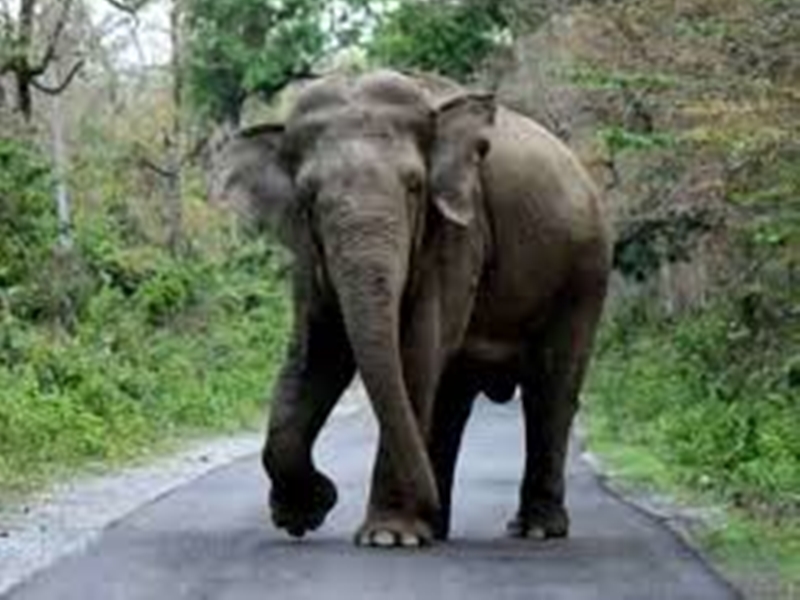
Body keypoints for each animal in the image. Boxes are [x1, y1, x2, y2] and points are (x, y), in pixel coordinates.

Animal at [209, 70, 612, 548]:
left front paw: (386, 538)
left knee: (551, 387)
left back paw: (534, 530)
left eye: (415, 186)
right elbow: (318, 355)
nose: (328, 493)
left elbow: (416, 351)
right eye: (307, 197)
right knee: (452, 397)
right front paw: (304, 514)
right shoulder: (309, 252)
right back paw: (437, 527)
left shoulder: (459, 231)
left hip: (585, 273)